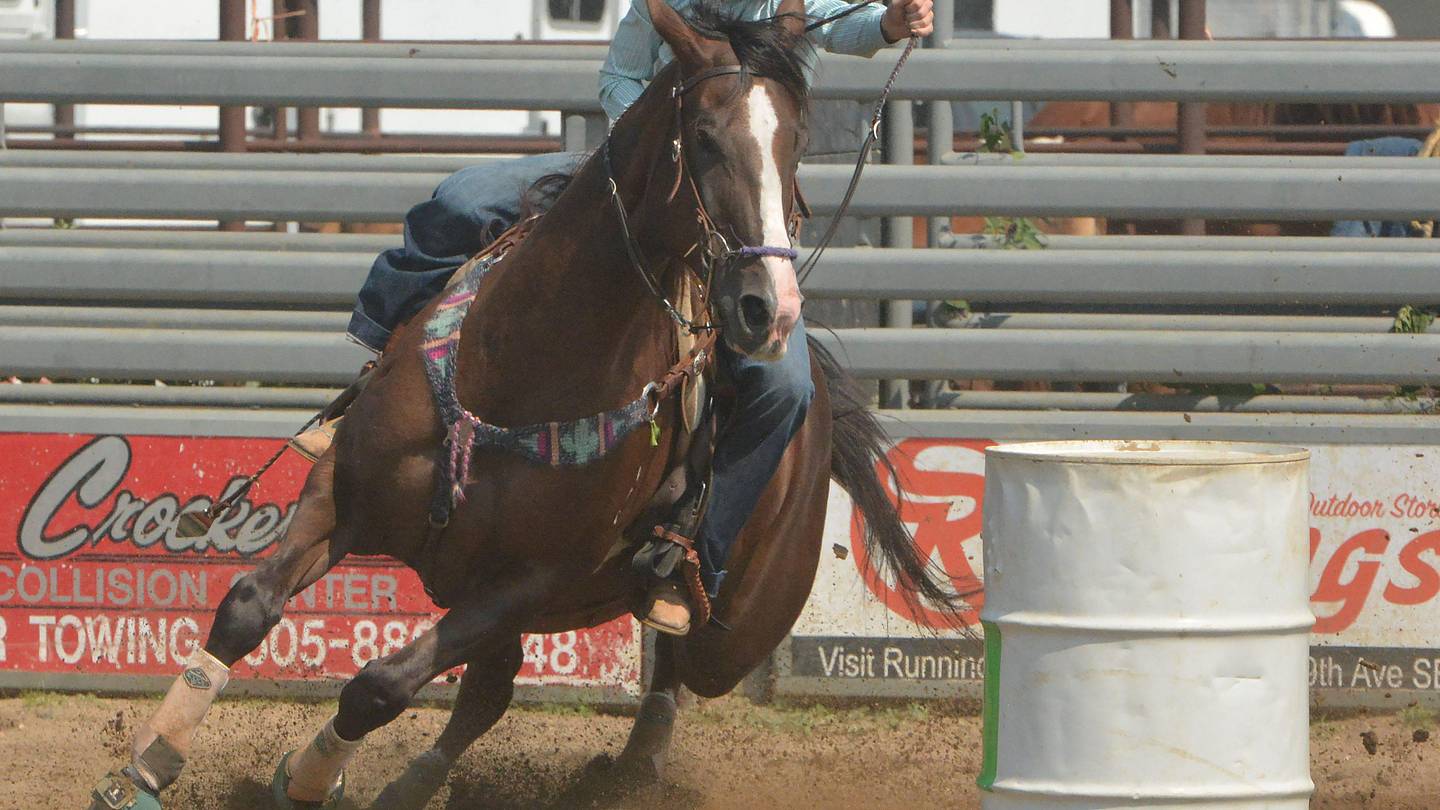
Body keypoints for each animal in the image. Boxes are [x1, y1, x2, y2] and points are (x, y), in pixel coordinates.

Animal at [94, 2, 965, 808]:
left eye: (795, 149)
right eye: (707, 139)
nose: (766, 309)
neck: (520, 363)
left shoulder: (530, 580)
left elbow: (380, 685)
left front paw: (304, 781)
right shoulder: (343, 494)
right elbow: (248, 607)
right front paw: (144, 768)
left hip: (734, 626)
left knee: (666, 670)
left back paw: (629, 769)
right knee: (492, 692)